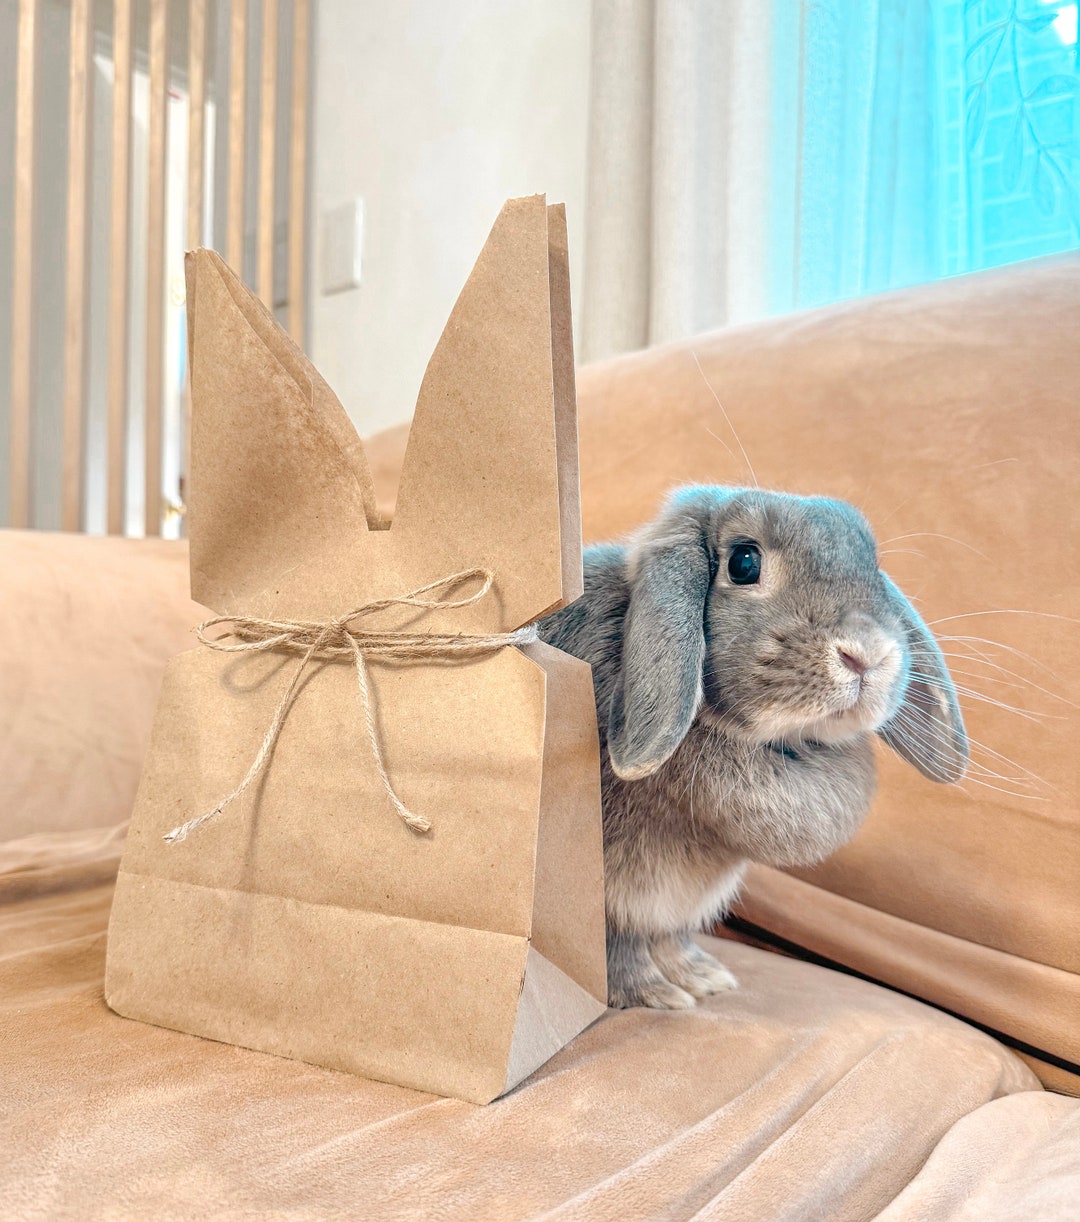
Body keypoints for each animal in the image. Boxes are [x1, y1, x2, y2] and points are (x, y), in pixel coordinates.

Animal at [538, 485, 968, 1010]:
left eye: (872, 565)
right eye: (744, 563)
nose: (868, 655)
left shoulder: (666, 909)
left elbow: (667, 938)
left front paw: (702, 977)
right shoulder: (605, 894)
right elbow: (615, 946)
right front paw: (655, 994)